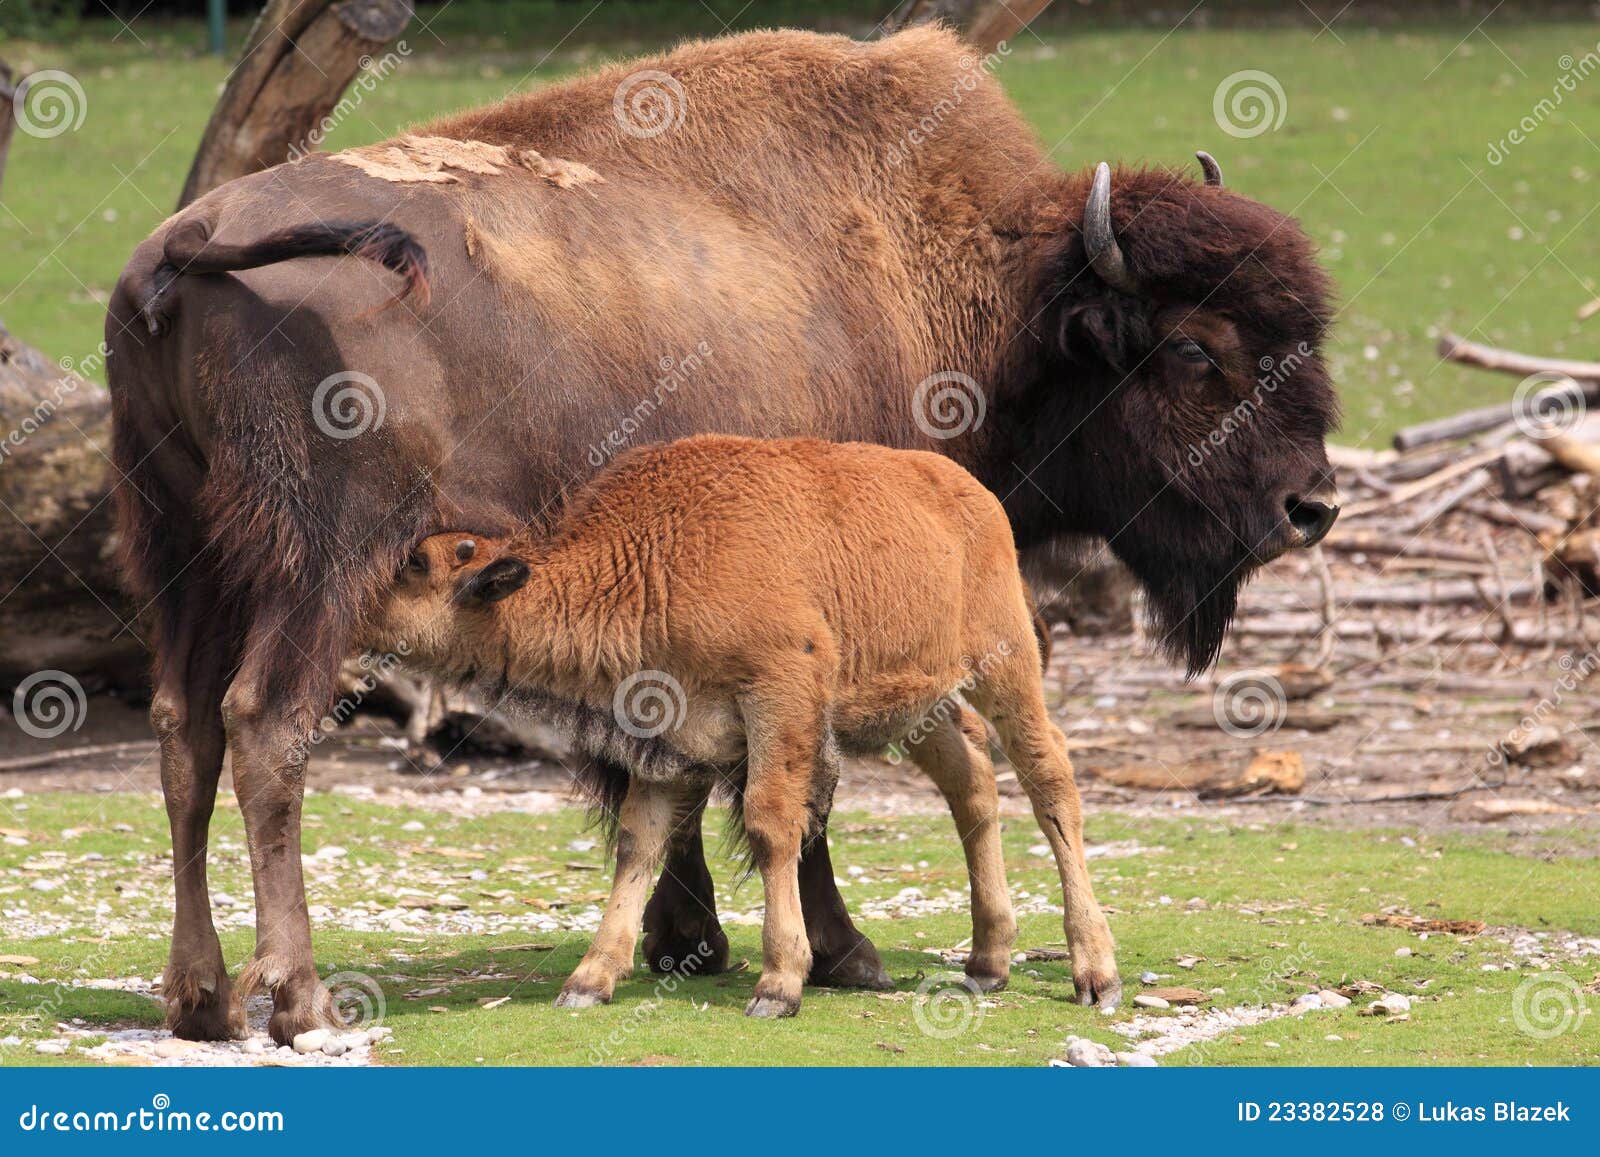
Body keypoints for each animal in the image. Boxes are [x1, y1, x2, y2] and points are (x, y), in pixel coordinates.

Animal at [106, 26, 1338, 1044]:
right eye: (1194, 349)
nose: (1311, 505)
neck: (960, 279)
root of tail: (186, 247)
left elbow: (681, 782)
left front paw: (683, 941)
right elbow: (793, 791)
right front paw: (835, 953)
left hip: (180, 556)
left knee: (182, 734)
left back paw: (200, 997)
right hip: (321, 569)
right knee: (267, 726)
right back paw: (300, 997)